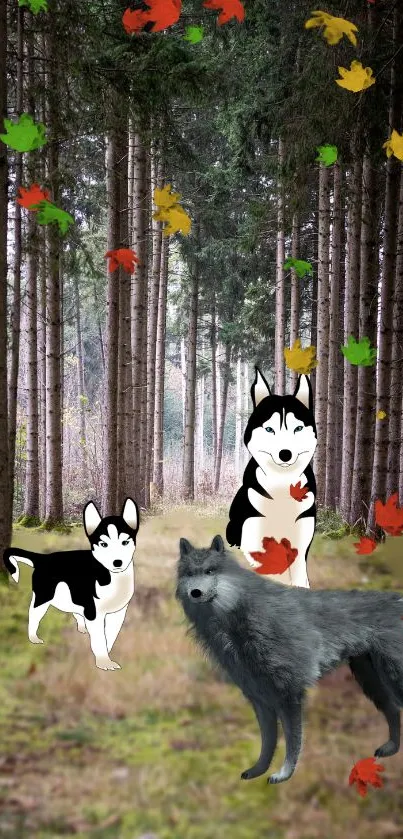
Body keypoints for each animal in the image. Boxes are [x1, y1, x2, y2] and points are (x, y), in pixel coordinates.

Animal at [3, 498, 139, 671]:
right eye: (103, 544)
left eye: (125, 542)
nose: (117, 562)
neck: (112, 577)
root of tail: (43, 558)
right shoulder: (94, 612)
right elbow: (100, 638)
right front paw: (103, 661)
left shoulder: (118, 613)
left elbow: (109, 636)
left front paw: (104, 655)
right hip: (44, 597)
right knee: (34, 615)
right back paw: (33, 637)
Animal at [176, 535, 403, 785]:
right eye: (189, 573)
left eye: (210, 571)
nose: (195, 593)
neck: (240, 612)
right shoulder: (259, 697)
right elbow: (268, 743)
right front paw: (258, 771)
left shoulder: (288, 693)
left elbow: (293, 742)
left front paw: (284, 774)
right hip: (371, 681)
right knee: (393, 710)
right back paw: (391, 749)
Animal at [227, 367, 317, 588]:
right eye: (269, 429)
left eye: (298, 428)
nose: (285, 454)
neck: (282, 486)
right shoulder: (253, 531)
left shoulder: (302, 534)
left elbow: (299, 573)